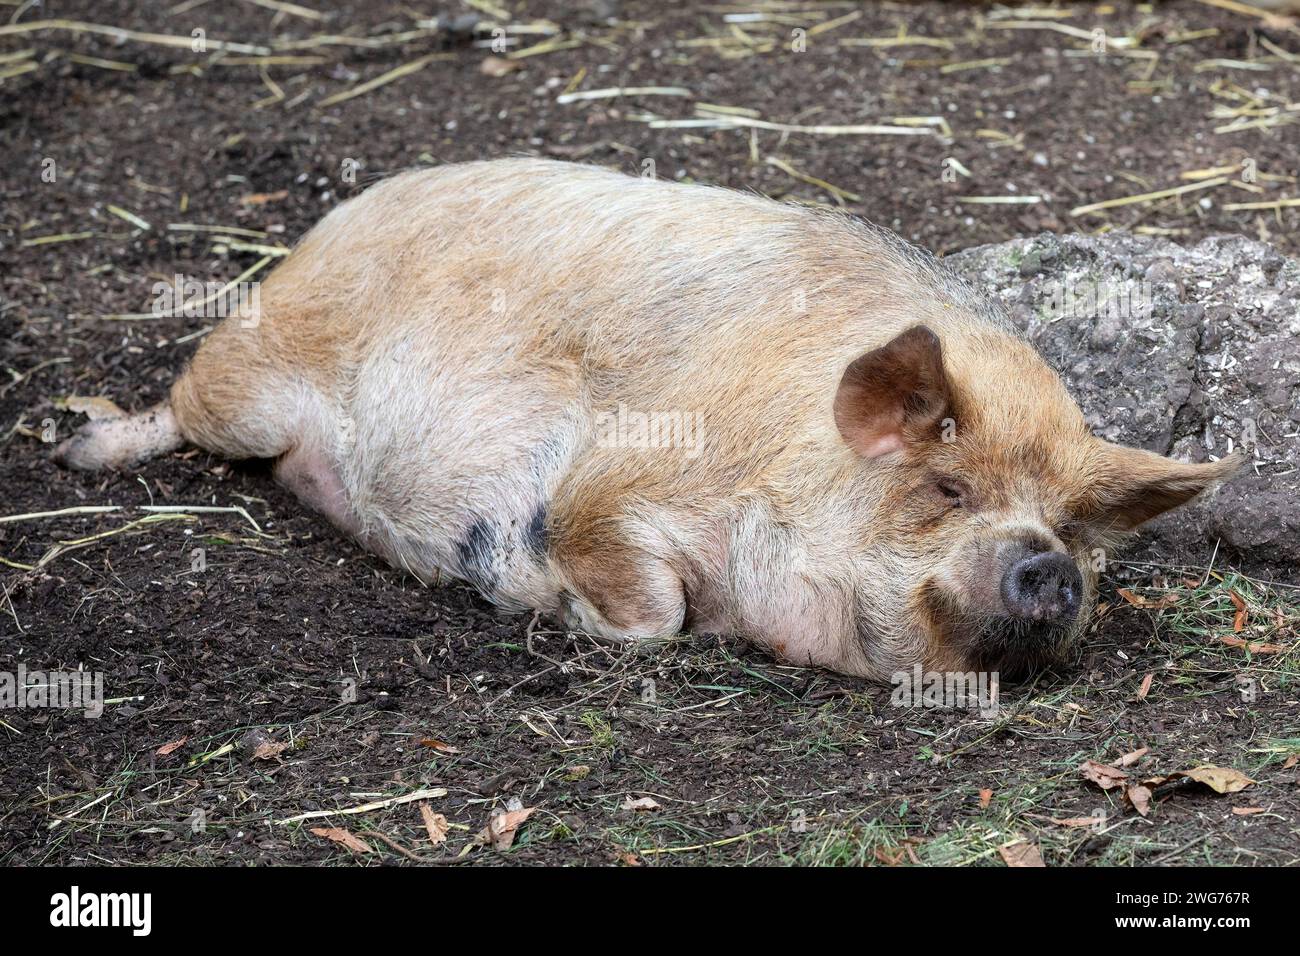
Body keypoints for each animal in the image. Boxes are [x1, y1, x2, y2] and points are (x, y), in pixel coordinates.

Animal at [53, 158, 1236, 680]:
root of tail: (322, 229)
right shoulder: (609, 487)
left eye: (1075, 526)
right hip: (247, 374)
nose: (1049, 564)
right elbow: (646, 604)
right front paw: (554, 610)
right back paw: (78, 442)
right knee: (179, 405)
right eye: (947, 487)